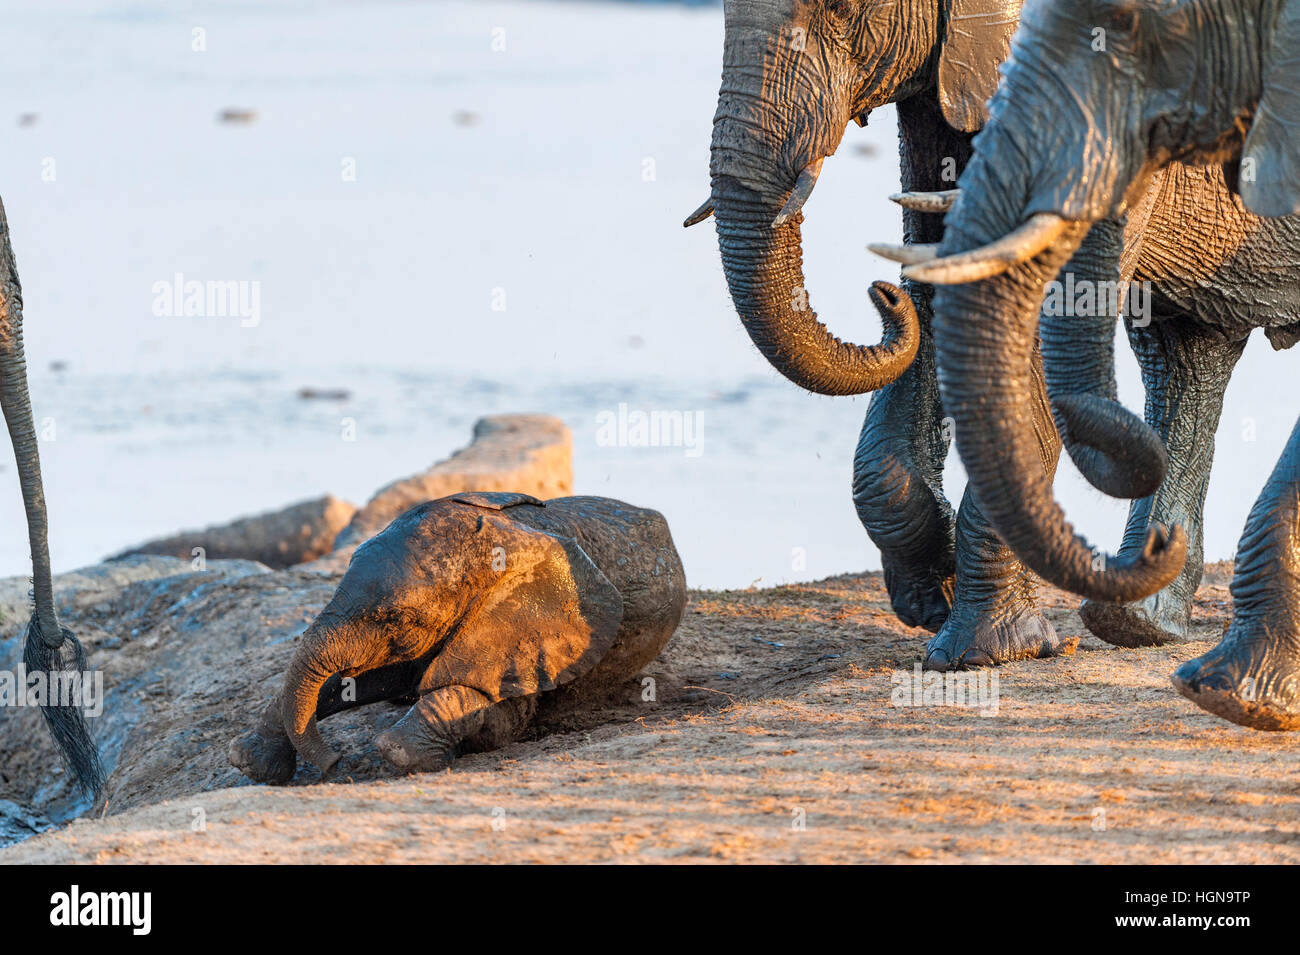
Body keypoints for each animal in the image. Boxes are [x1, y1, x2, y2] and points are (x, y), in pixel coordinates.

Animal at [230, 492, 686, 781]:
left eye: (399, 618)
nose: (334, 764)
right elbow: (356, 682)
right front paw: (251, 763)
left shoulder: (524, 640)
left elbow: (488, 710)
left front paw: (400, 750)